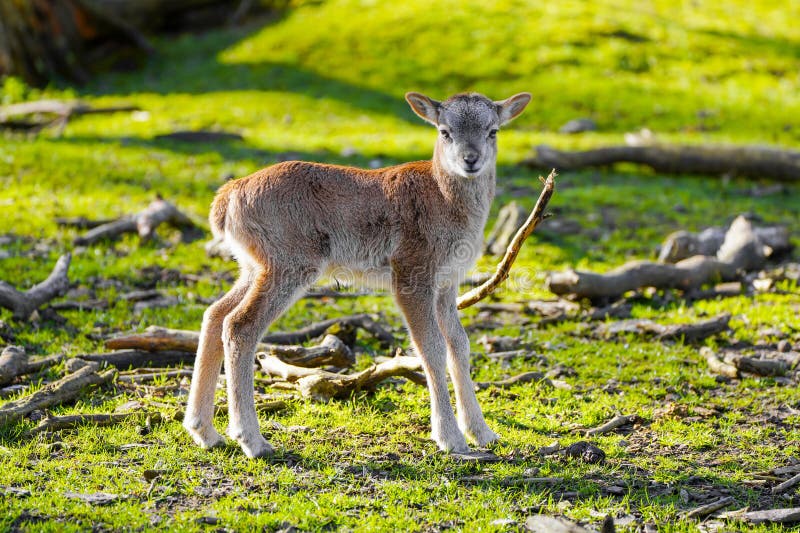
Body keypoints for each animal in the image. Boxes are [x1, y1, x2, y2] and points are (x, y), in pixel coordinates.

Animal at [183, 91, 532, 458]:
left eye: (493, 131)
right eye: (444, 131)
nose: (470, 160)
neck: (446, 203)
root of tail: (226, 199)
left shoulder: (447, 283)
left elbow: (459, 346)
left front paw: (484, 433)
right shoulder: (411, 273)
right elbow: (430, 348)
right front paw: (450, 439)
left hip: (253, 266)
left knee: (214, 313)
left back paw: (205, 431)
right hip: (289, 263)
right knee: (240, 325)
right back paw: (253, 440)